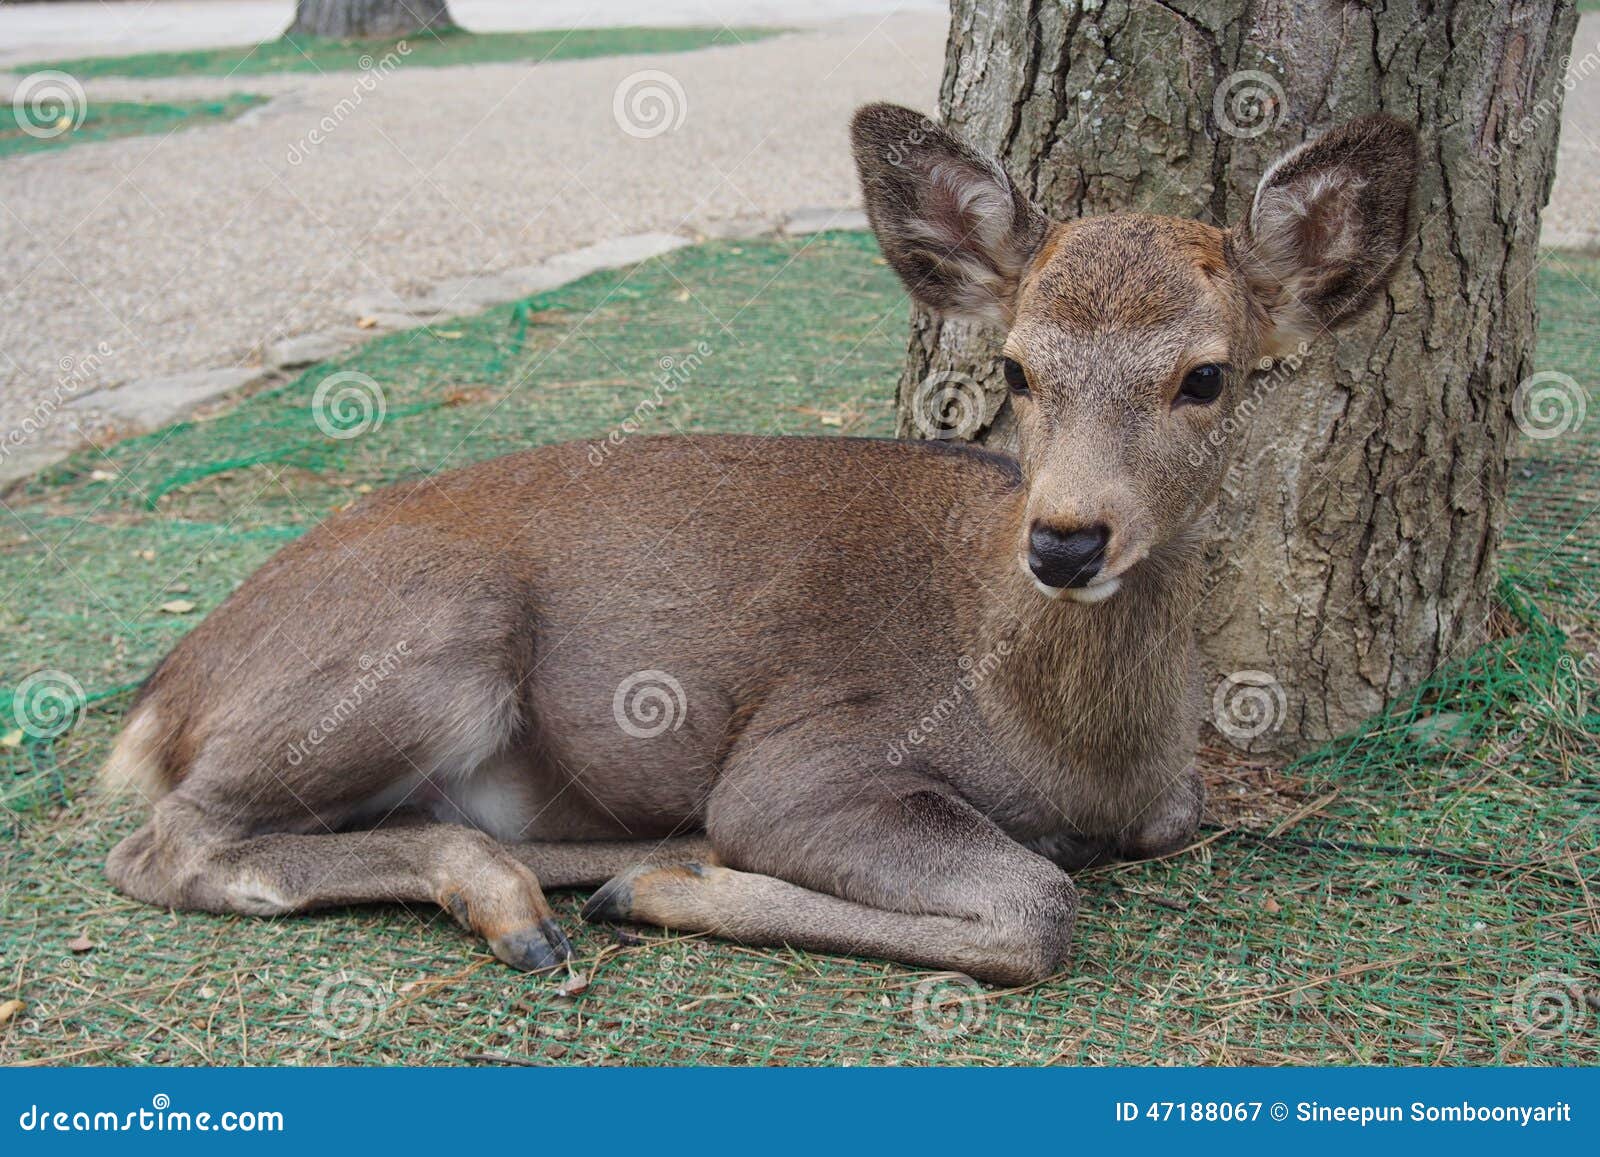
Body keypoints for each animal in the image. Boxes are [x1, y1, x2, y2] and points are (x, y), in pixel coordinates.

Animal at [100, 104, 1416, 986]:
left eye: (1207, 375)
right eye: (1016, 369)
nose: (1065, 540)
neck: (1071, 741)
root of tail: (158, 699)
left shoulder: (1163, 798)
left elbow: (1154, 826)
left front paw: (657, 872)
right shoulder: (809, 754)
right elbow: (1036, 906)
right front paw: (673, 882)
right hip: (433, 626)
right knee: (166, 844)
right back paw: (537, 896)